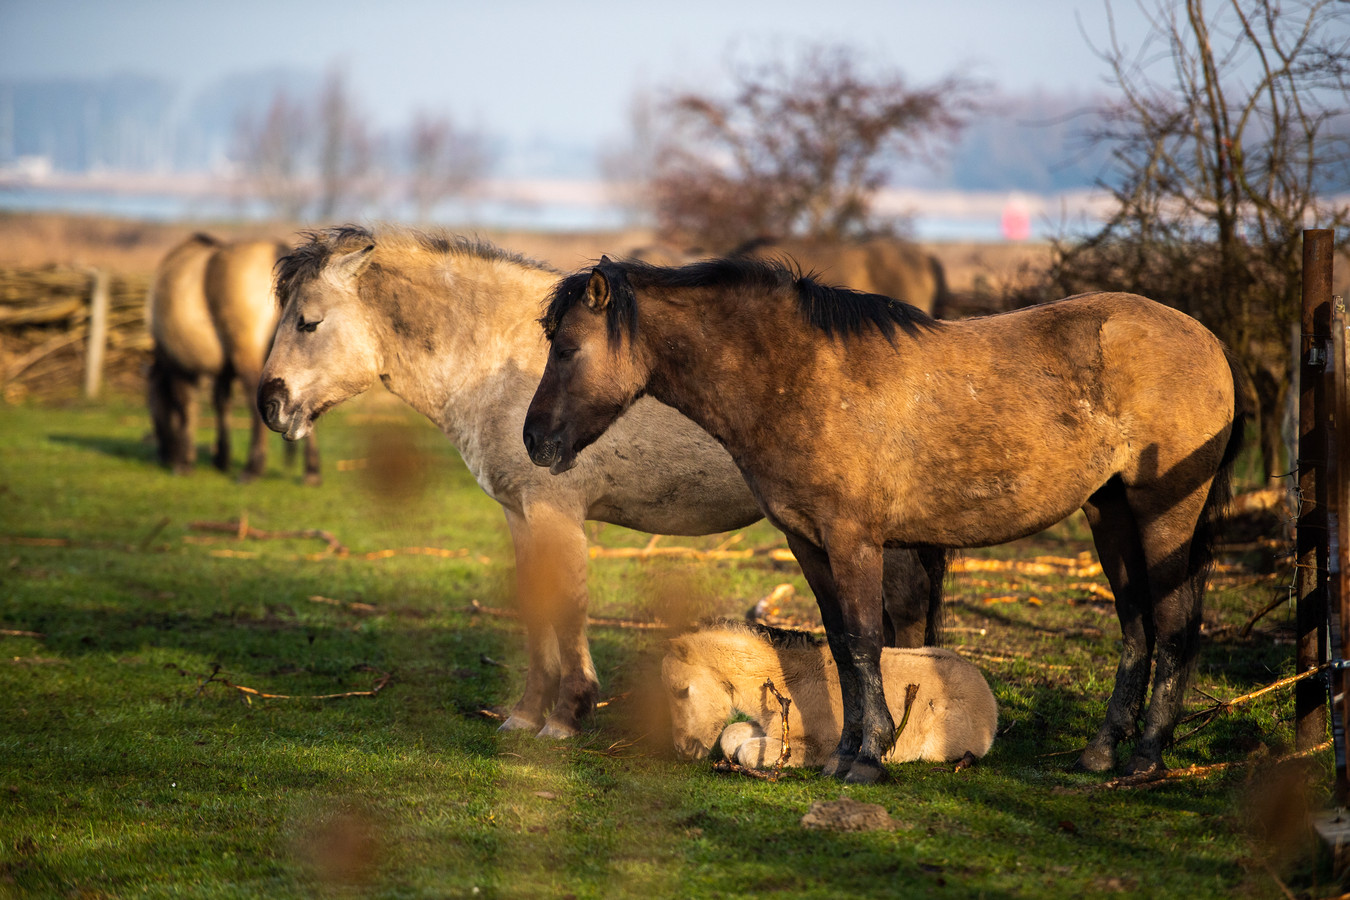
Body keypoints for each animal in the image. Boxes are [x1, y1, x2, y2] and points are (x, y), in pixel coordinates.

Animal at [146, 233, 320, 483]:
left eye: (151, 406)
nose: (163, 456)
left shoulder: (179, 365)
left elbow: (186, 407)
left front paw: (185, 461)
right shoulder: (223, 370)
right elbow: (221, 403)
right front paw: (221, 458)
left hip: (246, 356)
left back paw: (253, 467)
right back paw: (312, 471)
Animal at [256, 225, 947, 740]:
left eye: (309, 322)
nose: (269, 404)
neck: (496, 358)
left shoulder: (555, 511)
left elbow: (569, 606)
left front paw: (567, 715)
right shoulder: (519, 514)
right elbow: (535, 610)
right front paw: (525, 716)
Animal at [664, 621, 996, 768]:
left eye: (681, 691)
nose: (682, 750)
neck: (792, 678)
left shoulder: (821, 745)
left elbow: (747, 751)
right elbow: (731, 735)